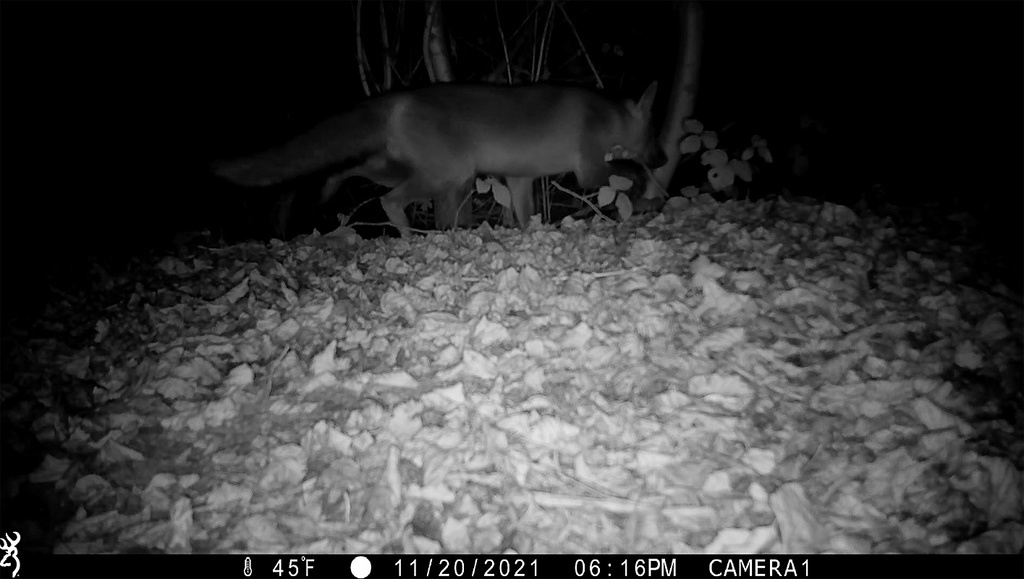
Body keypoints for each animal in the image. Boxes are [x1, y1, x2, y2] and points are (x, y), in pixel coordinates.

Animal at [211, 82, 667, 236]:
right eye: (655, 134)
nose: (664, 157)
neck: (605, 116)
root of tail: (400, 98)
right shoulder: (588, 169)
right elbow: (627, 170)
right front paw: (646, 189)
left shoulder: (519, 178)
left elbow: (524, 216)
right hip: (448, 174)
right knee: (389, 200)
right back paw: (409, 235)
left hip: (408, 168)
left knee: (351, 170)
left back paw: (326, 190)